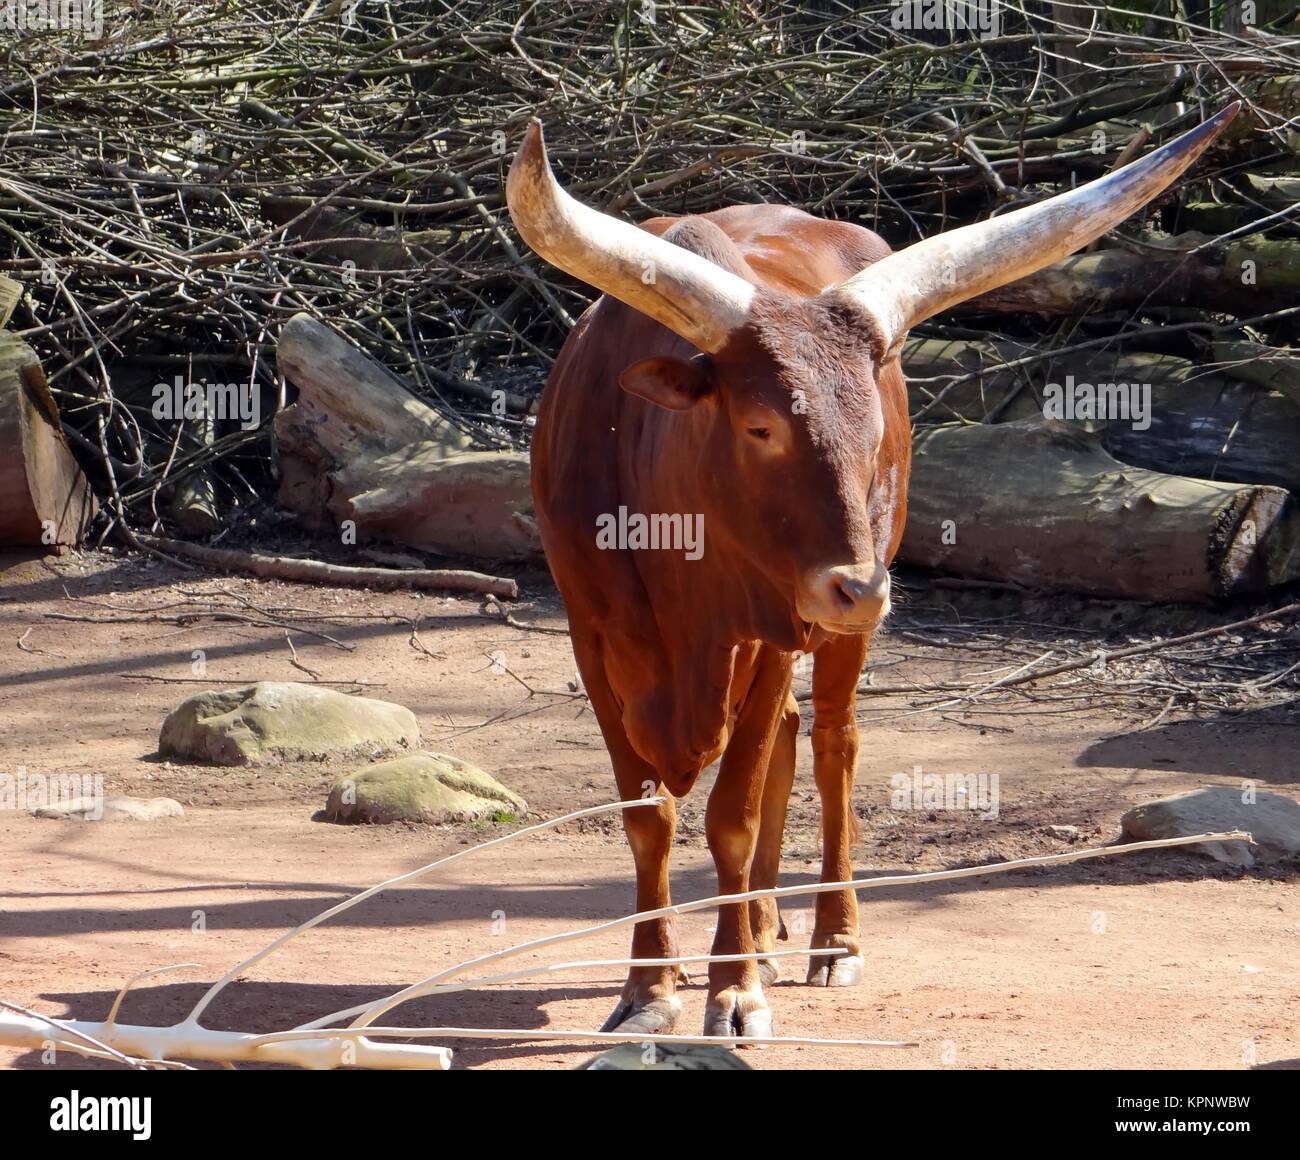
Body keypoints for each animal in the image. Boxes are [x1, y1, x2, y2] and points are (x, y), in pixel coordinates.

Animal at [505, 105, 1237, 1038]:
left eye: (874, 432)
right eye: (759, 426)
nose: (858, 590)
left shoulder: (770, 626)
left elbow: (732, 813)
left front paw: (733, 990)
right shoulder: (590, 634)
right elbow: (648, 817)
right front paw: (650, 989)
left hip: (828, 627)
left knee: (829, 745)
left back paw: (827, 938)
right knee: (787, 737)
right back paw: (764, 927)